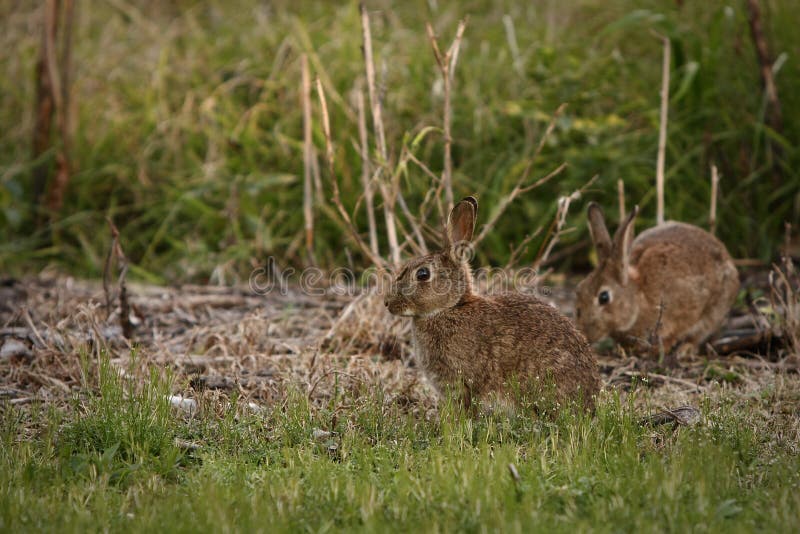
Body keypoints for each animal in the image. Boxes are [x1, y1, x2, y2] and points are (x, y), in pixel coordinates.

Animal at [575, 202, 740, 355]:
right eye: (579, 289)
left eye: (604, 297)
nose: (586, 335)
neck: (639, 297)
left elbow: (677, 331)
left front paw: (660, 348)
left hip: (716, 310)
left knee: (700, 334)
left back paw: (685, 349)